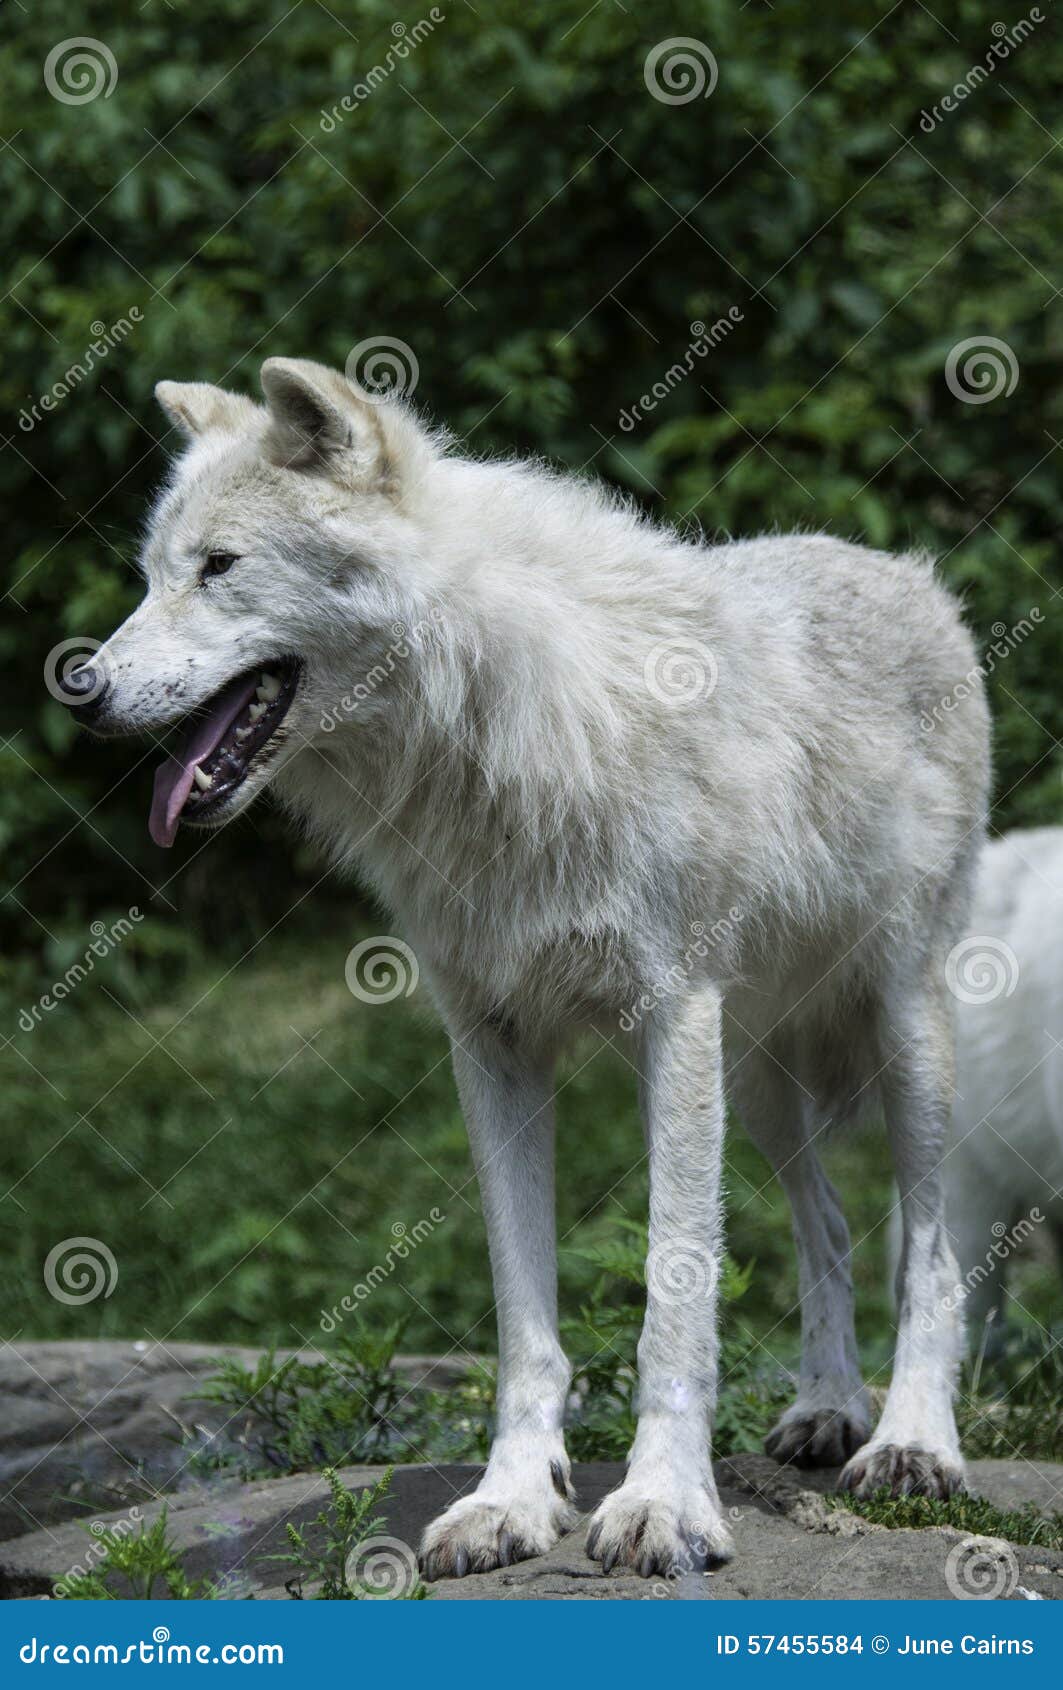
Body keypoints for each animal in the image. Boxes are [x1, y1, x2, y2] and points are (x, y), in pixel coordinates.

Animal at [60, 359, 990, 1577]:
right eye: (150, 576)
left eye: (219, 567)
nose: (79, 689)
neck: (487, 727)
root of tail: (898, 569)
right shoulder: (491, 1043)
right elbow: (523, 1319)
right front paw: (509, 1501)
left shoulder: (672, 1019)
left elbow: (674, 1298)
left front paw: (660, 1507)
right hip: (758, 1077)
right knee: (827, 1228)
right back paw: (827, 1410)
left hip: (900, 1036)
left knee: (928, 1250)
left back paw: (911, 1445)